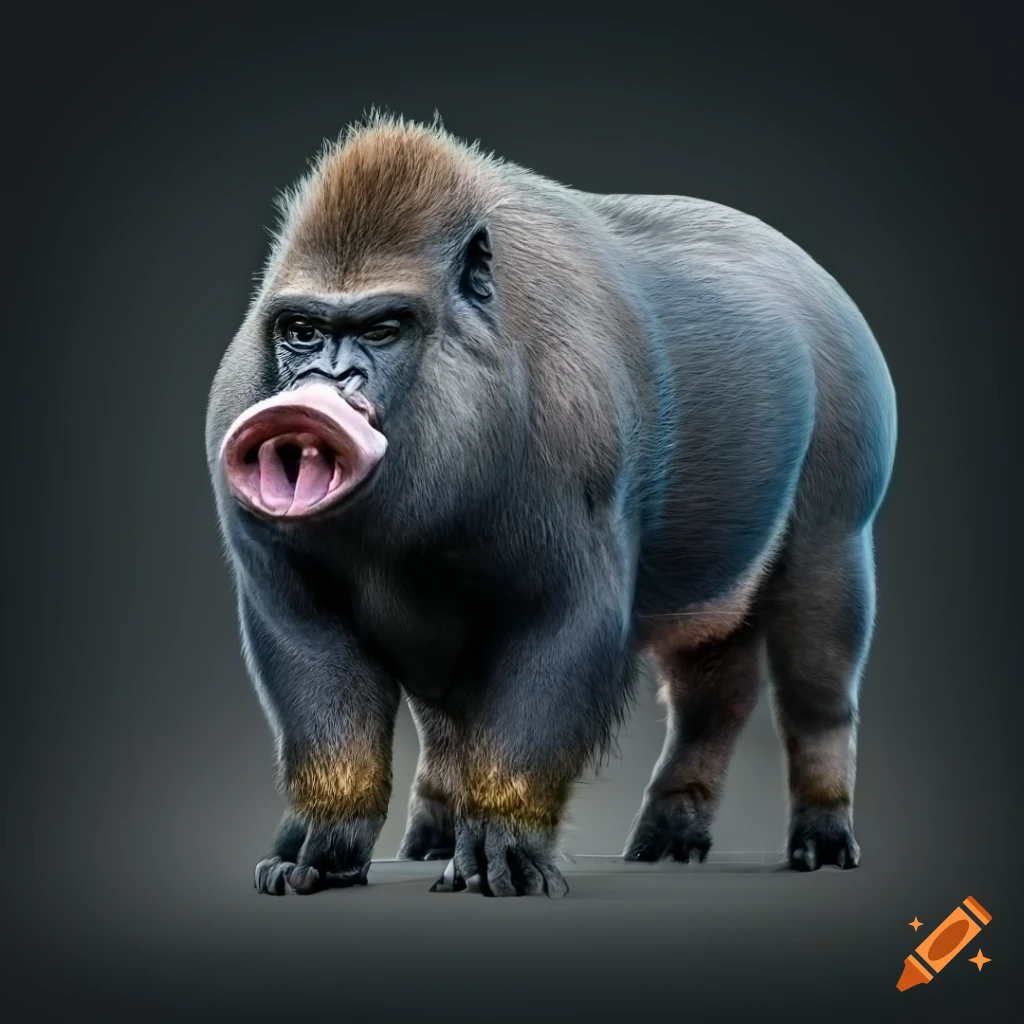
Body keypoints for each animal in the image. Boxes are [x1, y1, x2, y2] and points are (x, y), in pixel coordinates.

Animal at [205, 113, 897, 899]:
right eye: (302, 331)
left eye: (383, 329)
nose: (319, 388)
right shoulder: (276, 583)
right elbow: (322, 700)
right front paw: (300, 867)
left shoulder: (575, 546)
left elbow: (545, 681)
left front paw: (501, 874)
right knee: (710, 690)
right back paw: (631, 849)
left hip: (841, 523)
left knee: (817, 682)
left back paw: (822, 849)